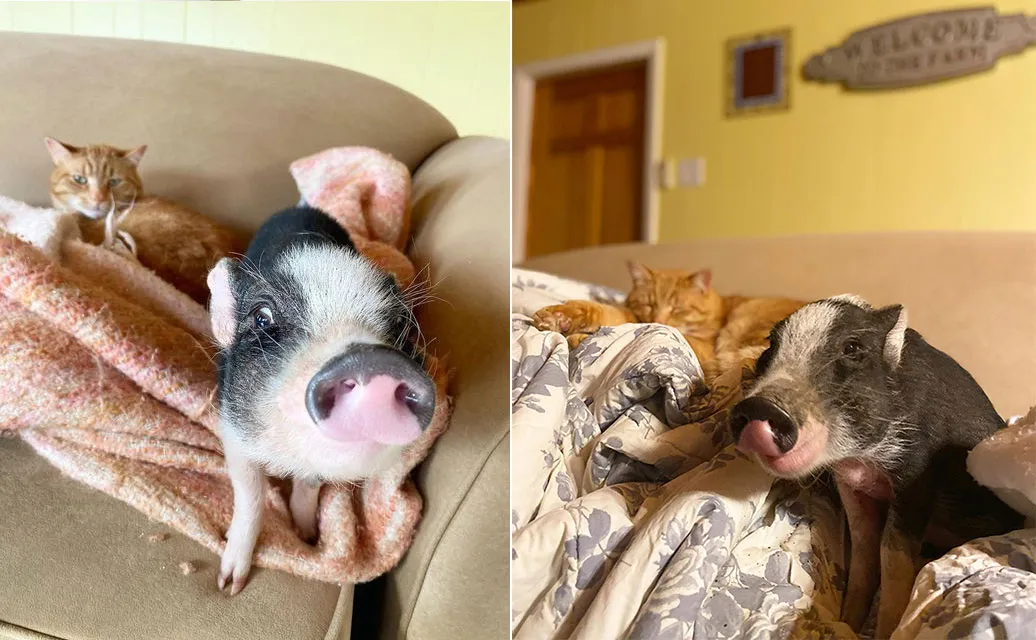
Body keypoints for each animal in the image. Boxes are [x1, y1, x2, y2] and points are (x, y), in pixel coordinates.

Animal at [208, 204, 435, 595]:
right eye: (262, 318)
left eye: (400, 325)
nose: (370, 359)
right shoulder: (233, 432)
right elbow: (250, 495)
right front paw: (229, 585)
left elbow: (308, 486)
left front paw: (308, 538)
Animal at [728, 295, 1021, 636]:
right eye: (770, 346)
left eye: (852, 348)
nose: (760, 406)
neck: (860, 460)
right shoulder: (850, 484)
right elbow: (863, 548)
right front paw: (846, 624)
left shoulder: (916, 475)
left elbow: (893, 557)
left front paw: (885, 631)